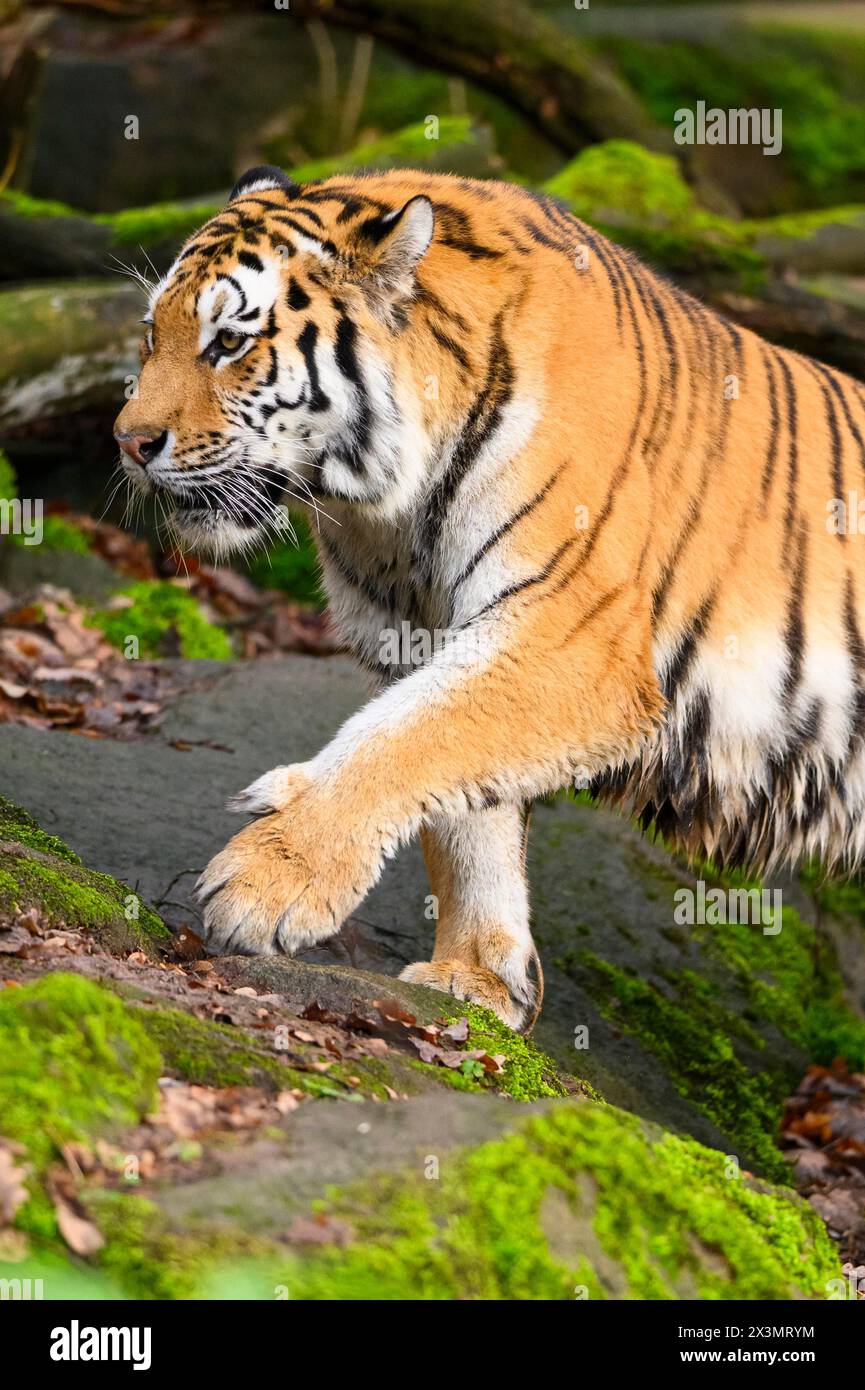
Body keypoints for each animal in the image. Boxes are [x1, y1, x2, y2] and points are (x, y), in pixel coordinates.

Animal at [114, 162, 865, 1033]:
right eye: (151, 334)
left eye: (229, 342)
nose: (127, 442)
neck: (387, 508)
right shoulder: (424, 636)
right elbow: (461, 809)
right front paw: (476, 978)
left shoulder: (569, 639)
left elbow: (397, 742)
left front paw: (268, 880)